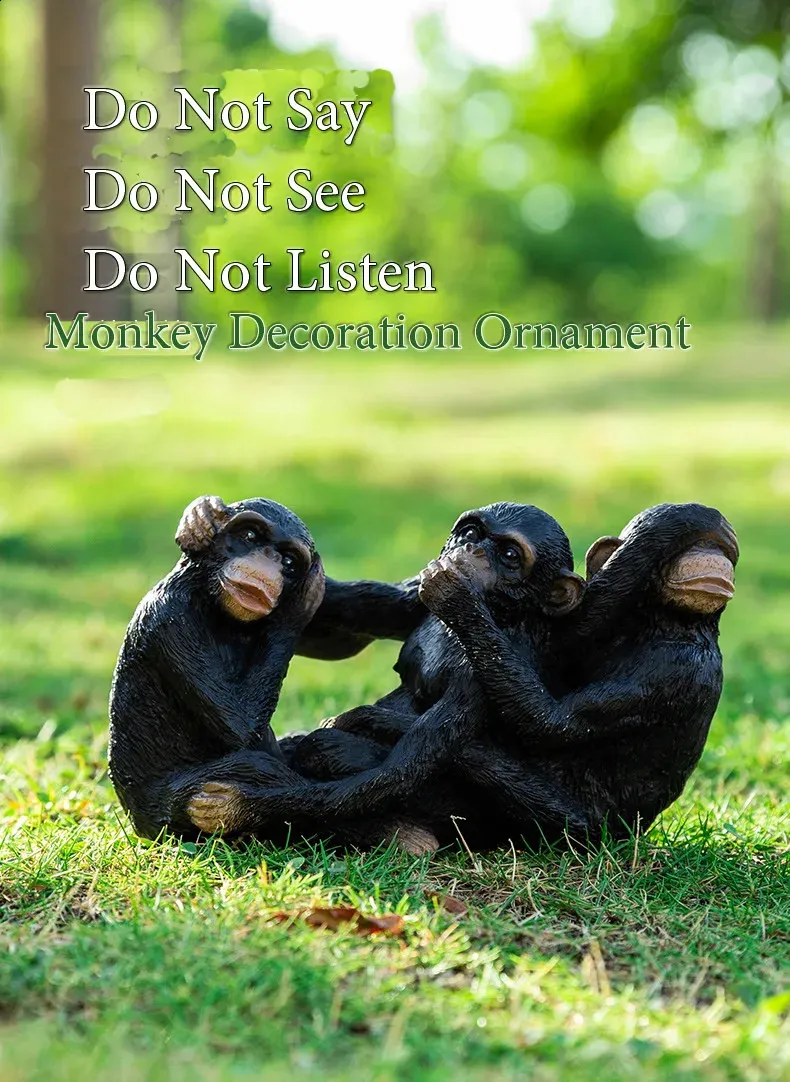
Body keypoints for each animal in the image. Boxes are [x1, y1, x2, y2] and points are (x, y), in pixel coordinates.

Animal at [108, 497, 325, 840]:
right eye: (250, 536)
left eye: (289, 562)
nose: (269, 559)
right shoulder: (171, 619)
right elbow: (241, 727)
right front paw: (304, 598)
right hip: (164, 816)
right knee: (254, 768)